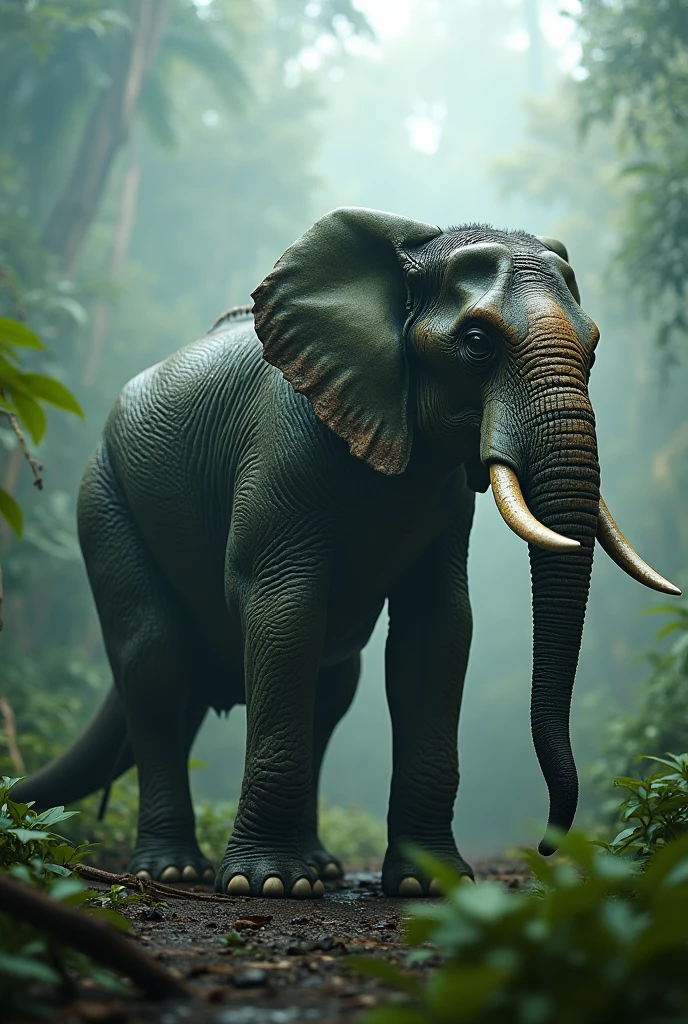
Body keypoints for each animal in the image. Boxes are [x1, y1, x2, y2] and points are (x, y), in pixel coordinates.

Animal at [13, 207, 680, 899]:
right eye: (476, 343)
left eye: (595, 347)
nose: (548, 847)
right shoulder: (282, 444)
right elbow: (282, 611)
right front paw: (265, 886)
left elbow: (437, 631)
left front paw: (429, 886)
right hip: (102, 496)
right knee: (156, 662)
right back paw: (178, 870)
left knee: (328, 686)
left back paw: (321, 870)